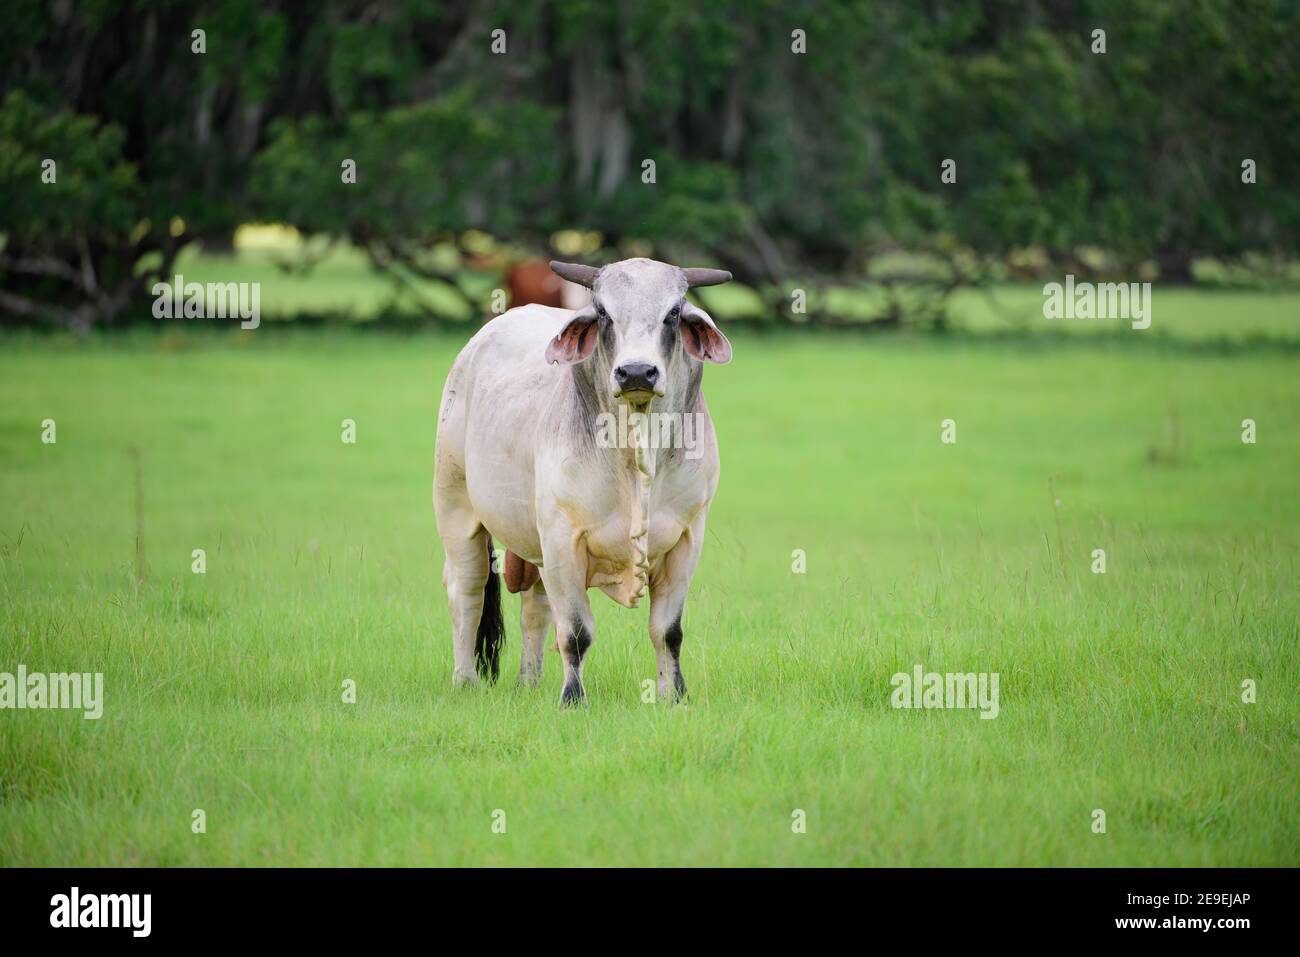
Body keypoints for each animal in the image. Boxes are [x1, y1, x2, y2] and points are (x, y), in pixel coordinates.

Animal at [433, 257, 733, 705]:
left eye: (674, 313)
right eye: (604, 312)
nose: (637, 372)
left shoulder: (687, 538)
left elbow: (668, 631)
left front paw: (674, 696)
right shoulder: (563, 538)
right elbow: (575, 633)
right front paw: (572, 699)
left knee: (535, 608)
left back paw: (528, 681)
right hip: (456, 505)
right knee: (467, 591)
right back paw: (465, 679)